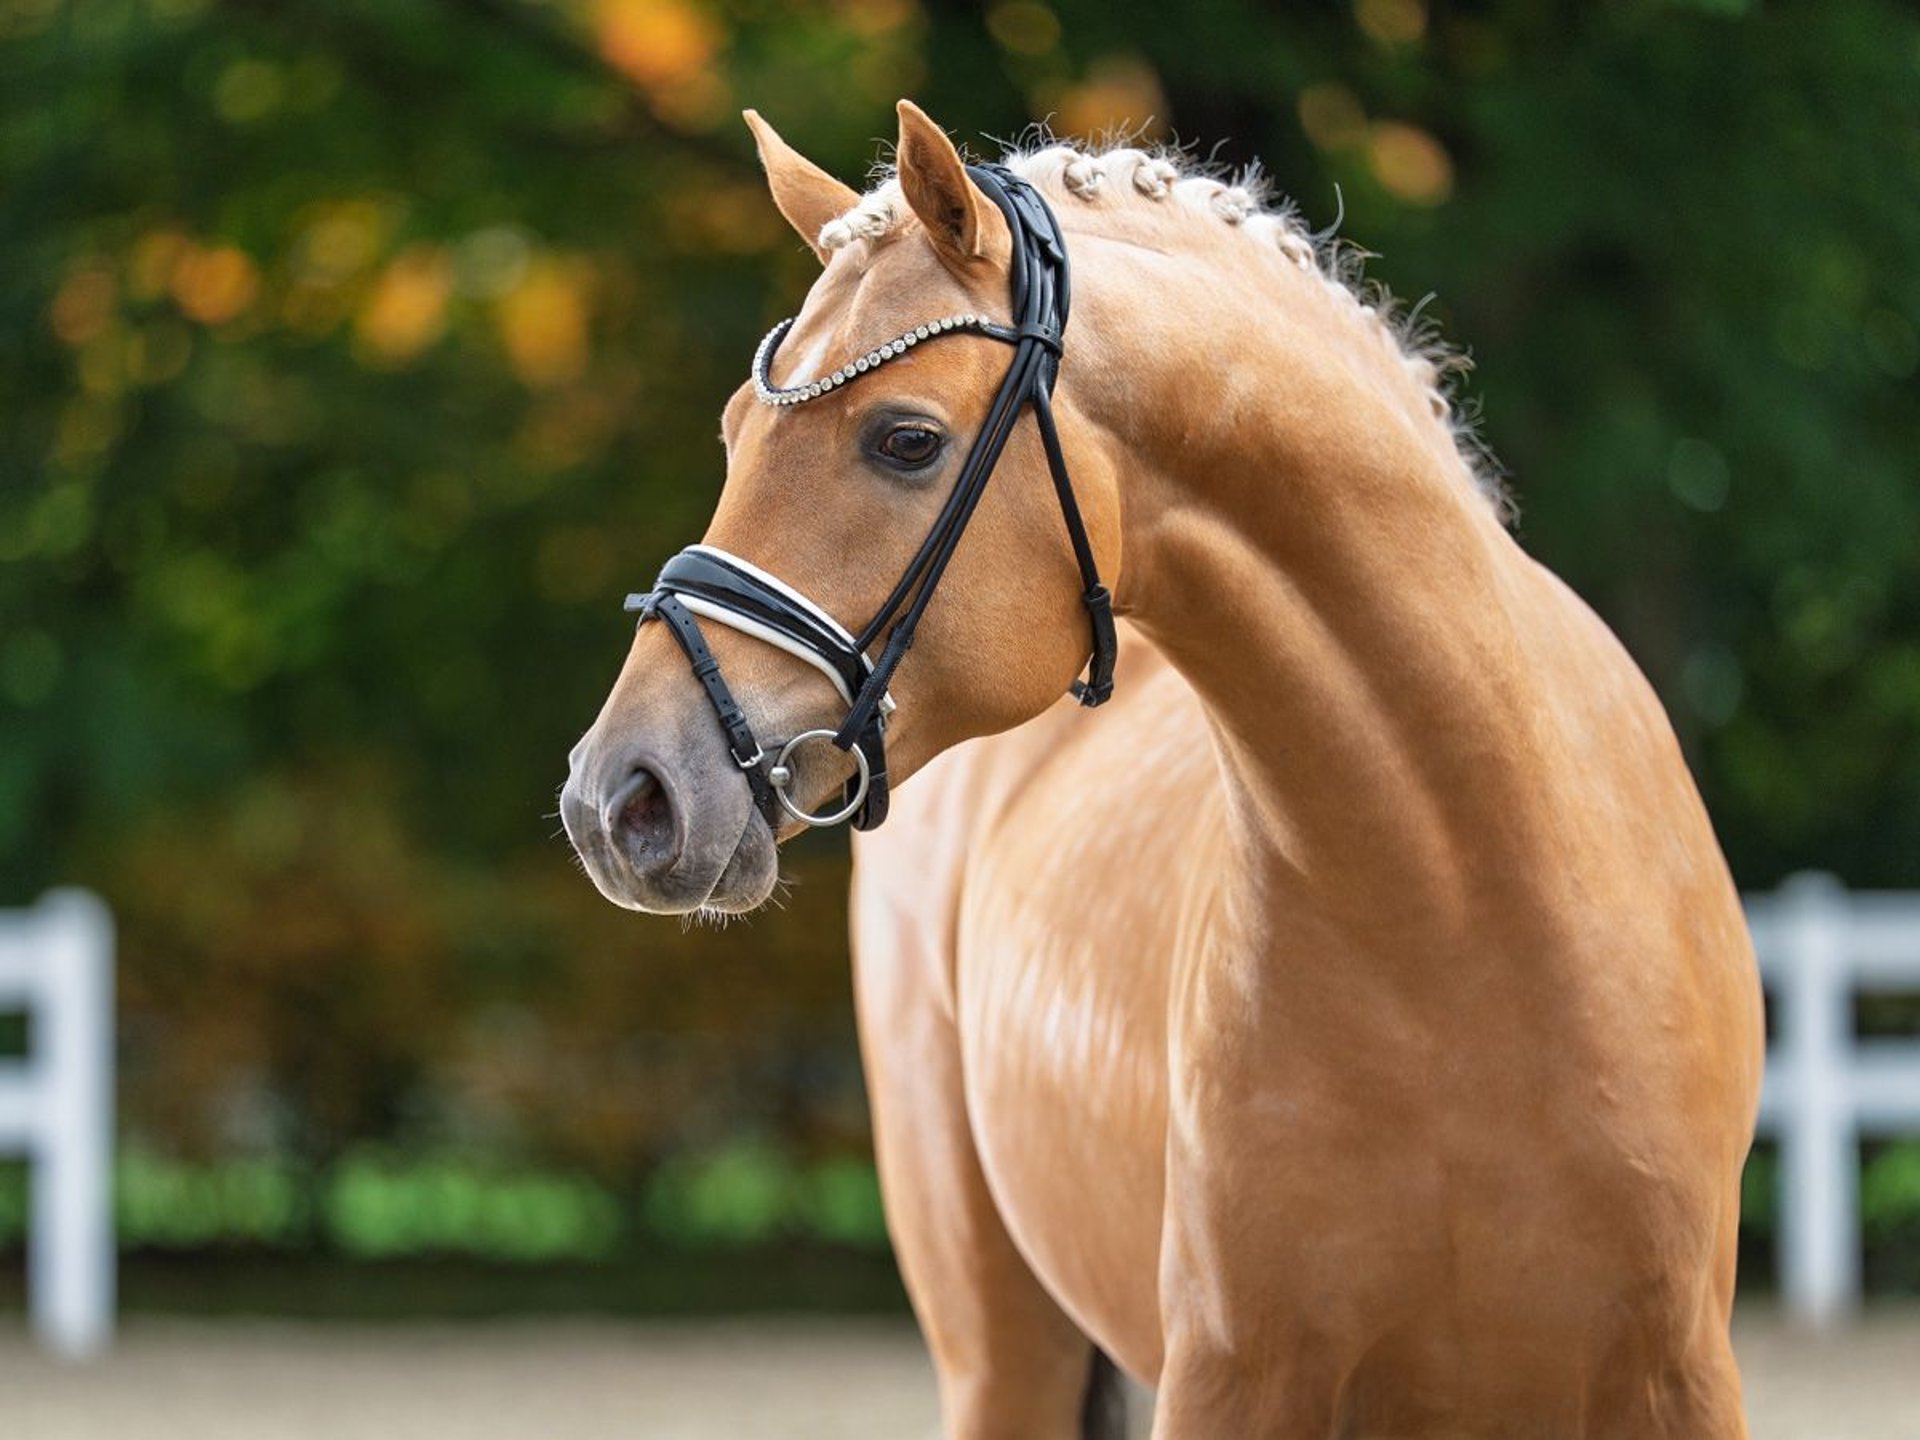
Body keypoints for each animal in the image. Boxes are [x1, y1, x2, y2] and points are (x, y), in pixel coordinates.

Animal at [561, 100, 1765, 1439]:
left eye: (906, 440)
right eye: (734, 433)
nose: (622, 796)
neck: (1468, 904)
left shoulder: (1679, 1380)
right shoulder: (1234, 1375)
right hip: (999, 1347)